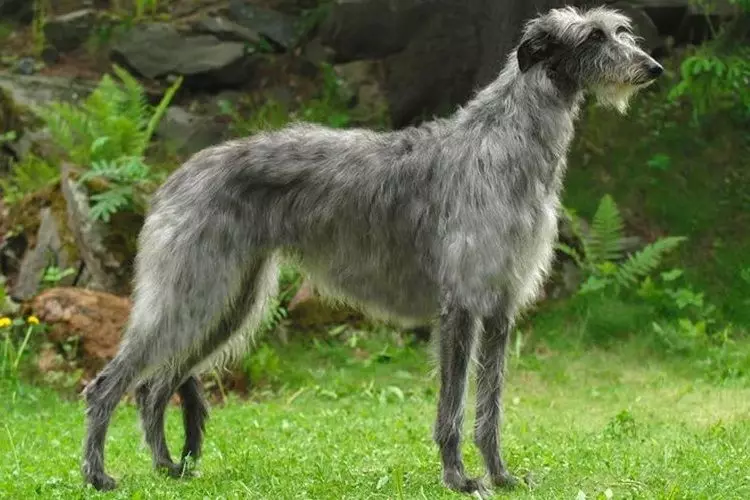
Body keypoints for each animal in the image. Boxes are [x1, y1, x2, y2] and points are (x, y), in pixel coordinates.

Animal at [83, 5, 664, 498]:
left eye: (621, 30)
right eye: (593, 36)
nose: (654, 68)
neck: (504, 144)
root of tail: (175, 176)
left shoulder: (500, 307)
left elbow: (490, 406)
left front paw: (500, 475)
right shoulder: (460, 306)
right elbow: (452, 407)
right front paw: (459, 478)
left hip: (230, 302)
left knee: (154, 388)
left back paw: (167, 468)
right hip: (193, 291)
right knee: (109, 385)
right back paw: (98, 474)